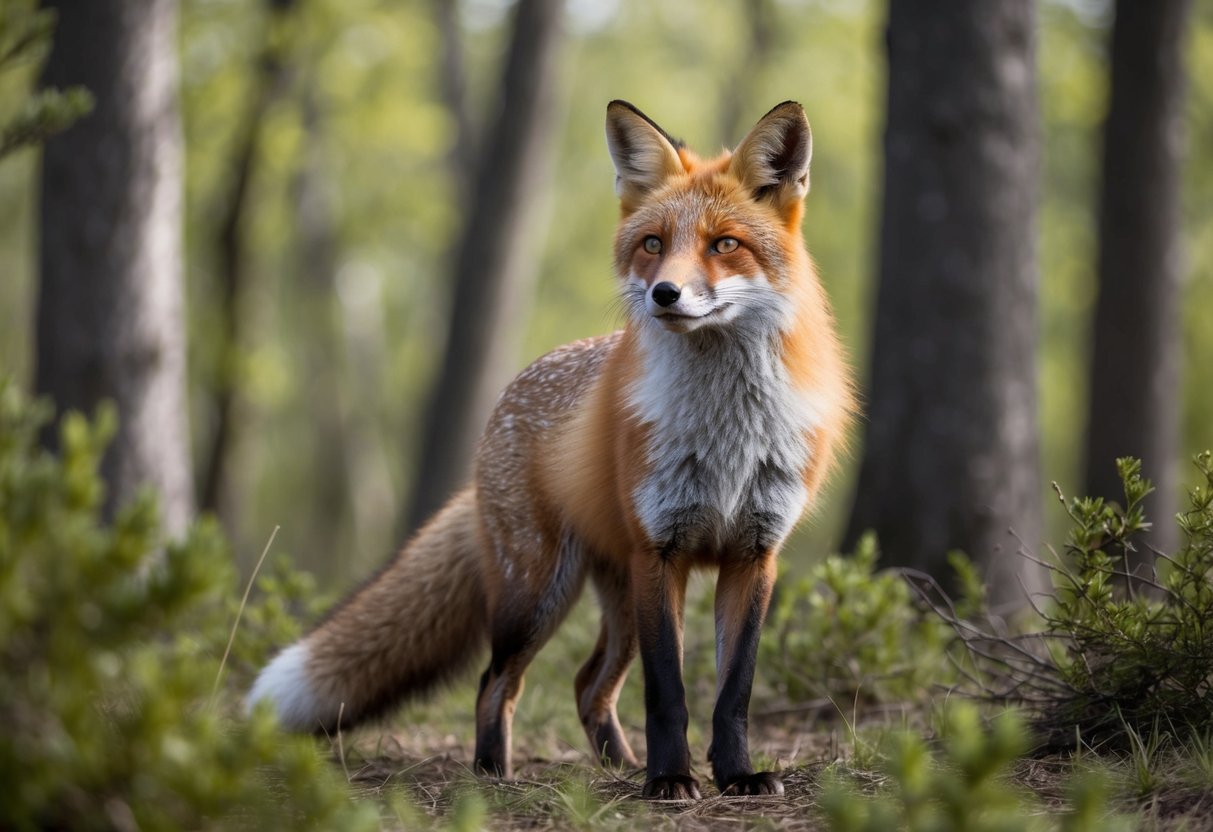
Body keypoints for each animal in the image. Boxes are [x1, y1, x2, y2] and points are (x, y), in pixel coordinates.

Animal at [248, 100, 854, 799]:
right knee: (494, 683)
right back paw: (495, 772)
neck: (725, 432)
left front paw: (735, 776)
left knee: (587, 685)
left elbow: (733, 694)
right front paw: (670, 780)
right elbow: (667, 694)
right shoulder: (661, 551)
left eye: (724, 244)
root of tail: (505, 403)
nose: (664, 294)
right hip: (540, 593)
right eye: (653, 245)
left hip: (617, 601)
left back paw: (617, 765)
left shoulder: (754, 555)